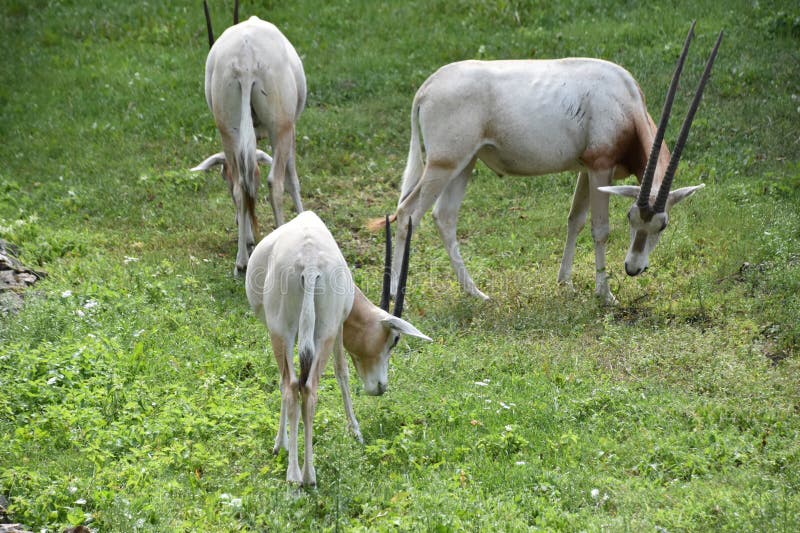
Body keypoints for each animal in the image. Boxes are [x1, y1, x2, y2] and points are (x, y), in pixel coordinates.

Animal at [192, 0, 306, 275]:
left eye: (221, 176)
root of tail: (245, 63)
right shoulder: (291, 129)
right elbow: (293, 179)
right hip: (280, 128)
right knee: (275, 182)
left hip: (229, 131)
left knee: (240, 185)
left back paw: (242, 261)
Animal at [245, 211, 431, 486]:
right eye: (394, 339)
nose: (380, 387)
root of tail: (310, 265)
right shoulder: (340, 326)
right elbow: (342, 371)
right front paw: (356, 431)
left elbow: (283, 382)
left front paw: (281, 444)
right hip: (323, 332)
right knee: (307, 388)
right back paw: (307, 477)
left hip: (286, 332)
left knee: (295, 387)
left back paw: (296, 475)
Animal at [371, 23, 722, 304]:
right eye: (630, 217)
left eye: (661, 225)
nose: (633, 268)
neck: (626, 105)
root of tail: (426, 88)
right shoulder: (601, 167)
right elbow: (599, 229)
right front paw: (605, 294)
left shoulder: (586, 169)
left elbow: (574, 220)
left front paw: (565, 282)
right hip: (443, 164)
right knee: (408, 213)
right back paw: (395, 294)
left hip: (464, 163)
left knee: (443, 217)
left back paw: (476, 293)